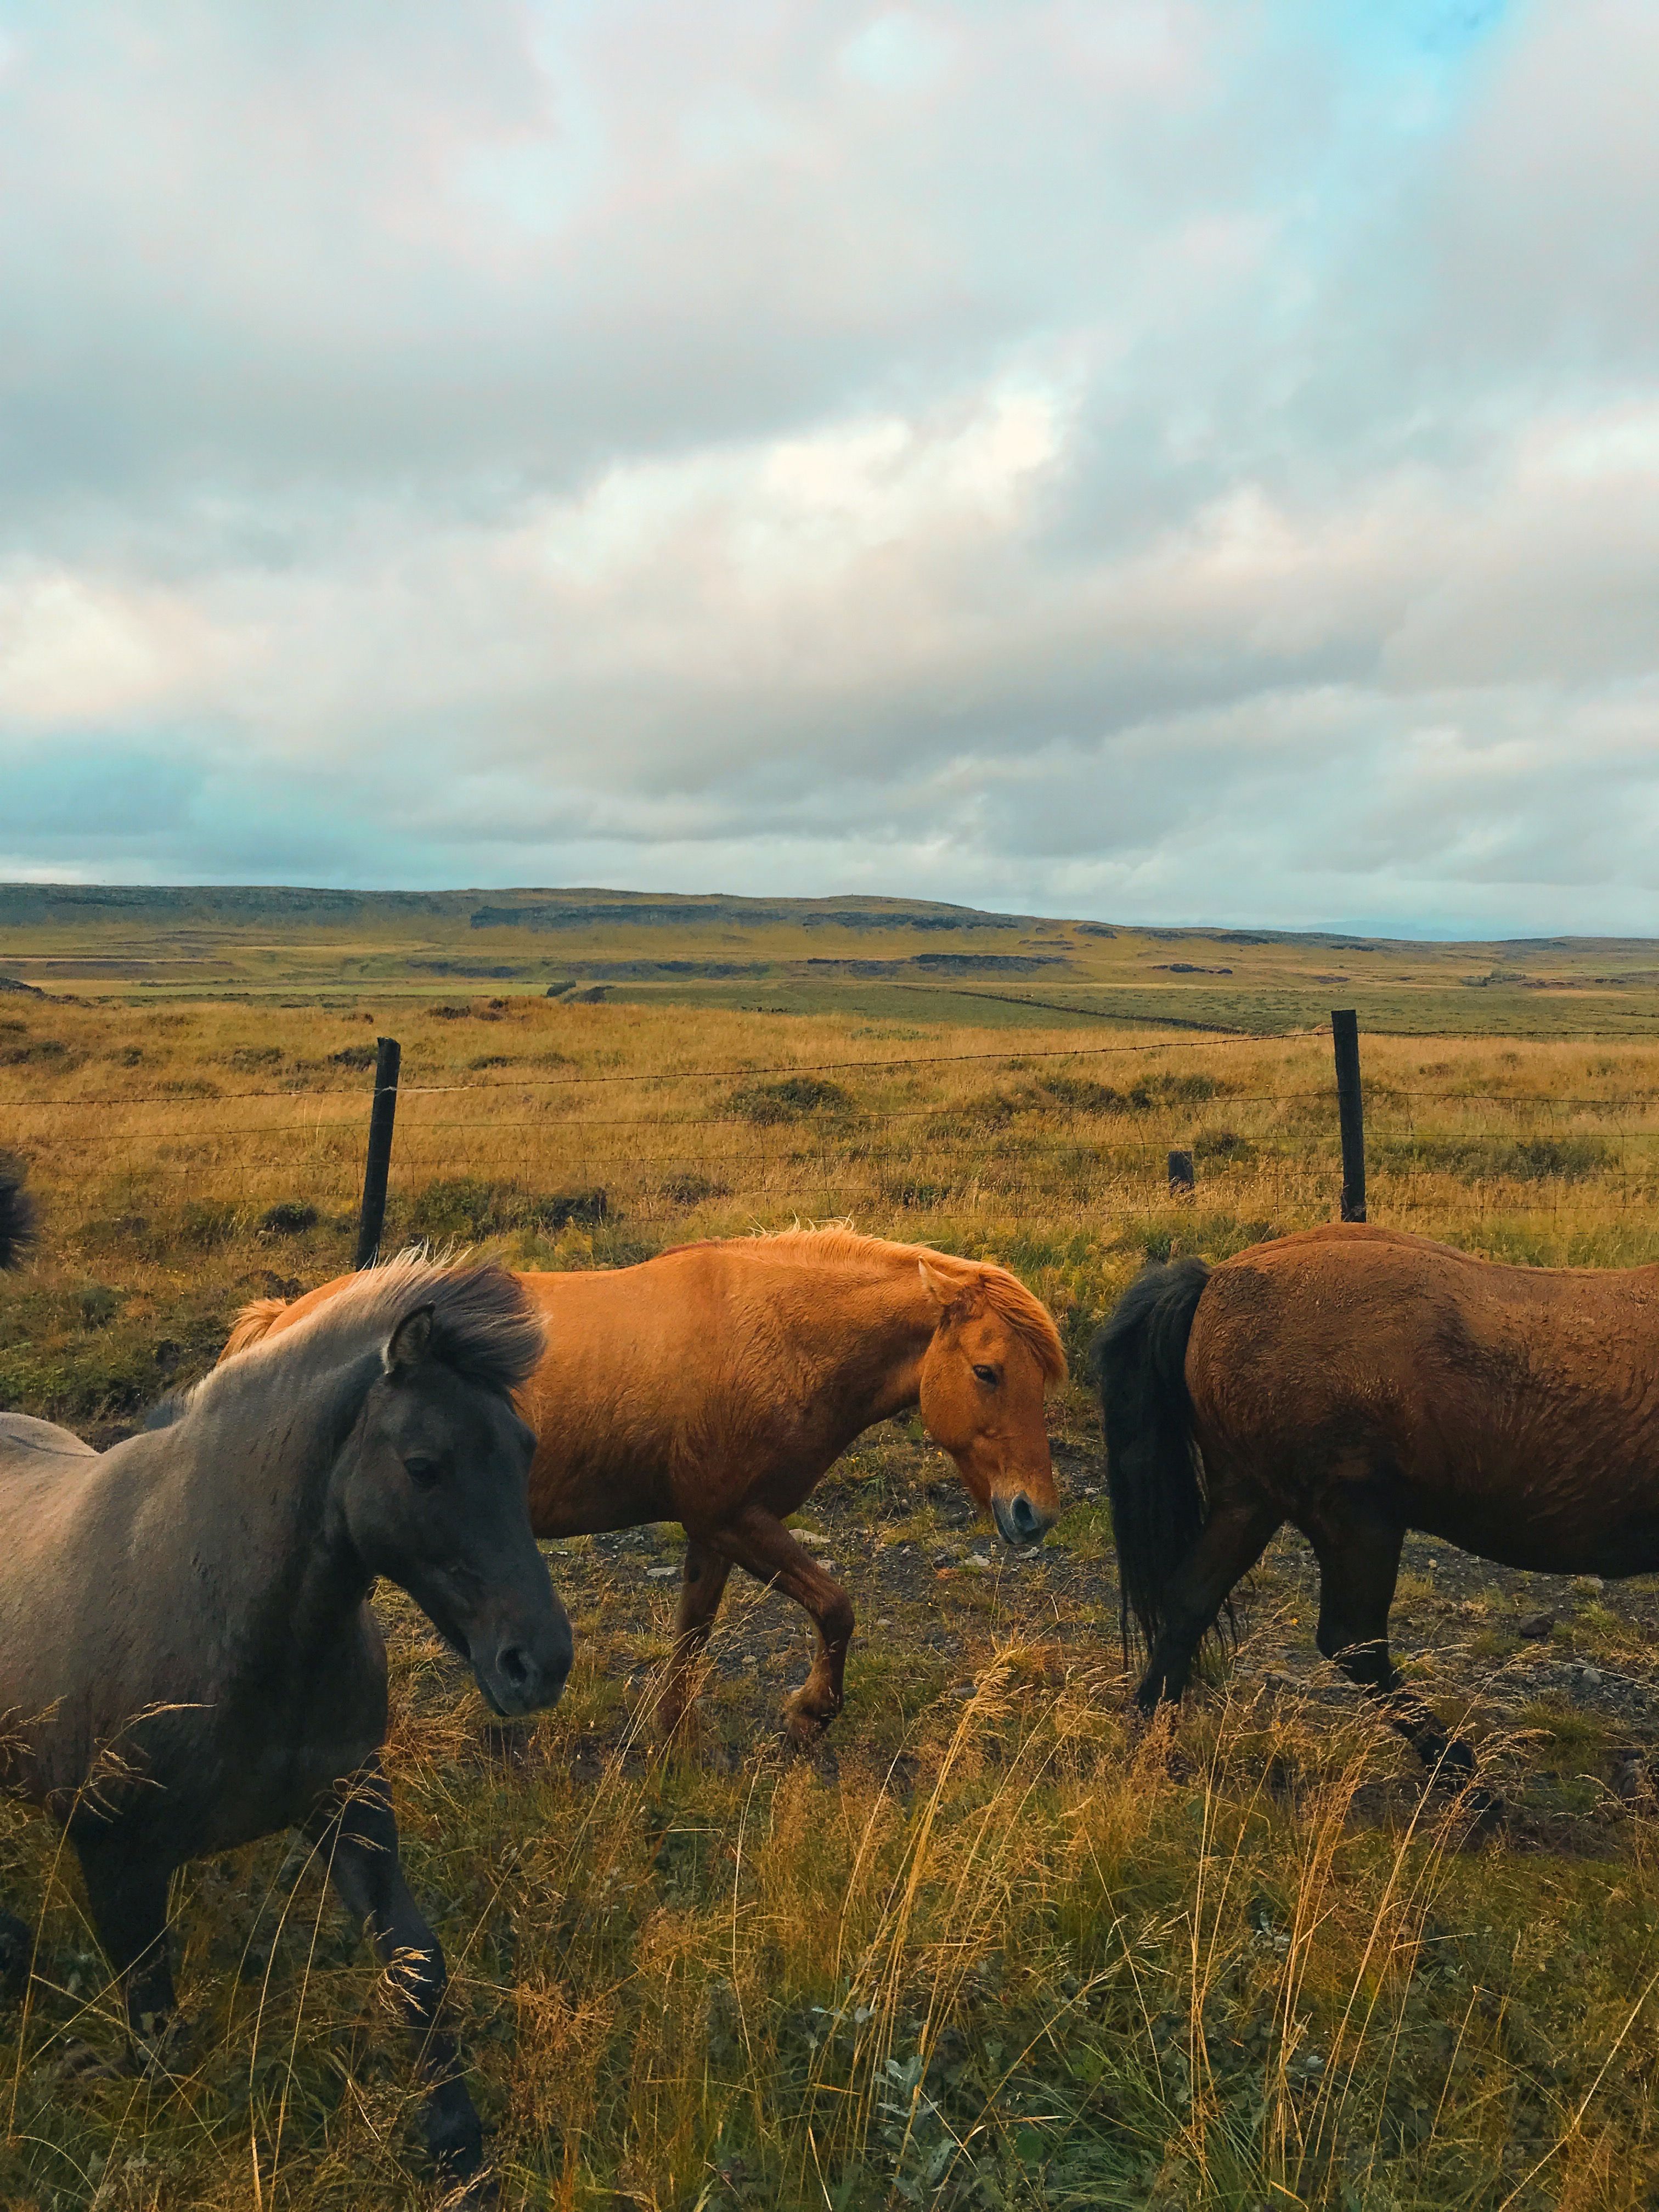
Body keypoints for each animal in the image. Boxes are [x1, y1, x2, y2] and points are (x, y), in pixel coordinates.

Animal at [0, 1256, 572, 2199]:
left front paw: (460, 2153)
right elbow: (158, 2037)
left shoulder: (350, 1801)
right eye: (424, 1465)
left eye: (526, 1449)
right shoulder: (115, 1861)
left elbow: (416, 1967)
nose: (541, 1662)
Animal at [224, 1226, 1067, 1743]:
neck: (778, 1334)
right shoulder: (737, 1519)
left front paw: (672, 1732)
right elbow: (835, 1607)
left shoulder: (715, 1527)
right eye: (988, 1372)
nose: (1034, 1514)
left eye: (1042, 1379)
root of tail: (285, 1318)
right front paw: (810, 1713)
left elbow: (693, 1630)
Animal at [1093, 1222, 1659, 1803]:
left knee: (1189, 1605)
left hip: (1250, 1503)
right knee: (1352, 1641)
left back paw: (1150, 1746)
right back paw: (1458, 1768)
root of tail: (1216, 1280)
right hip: (1356, 1523)